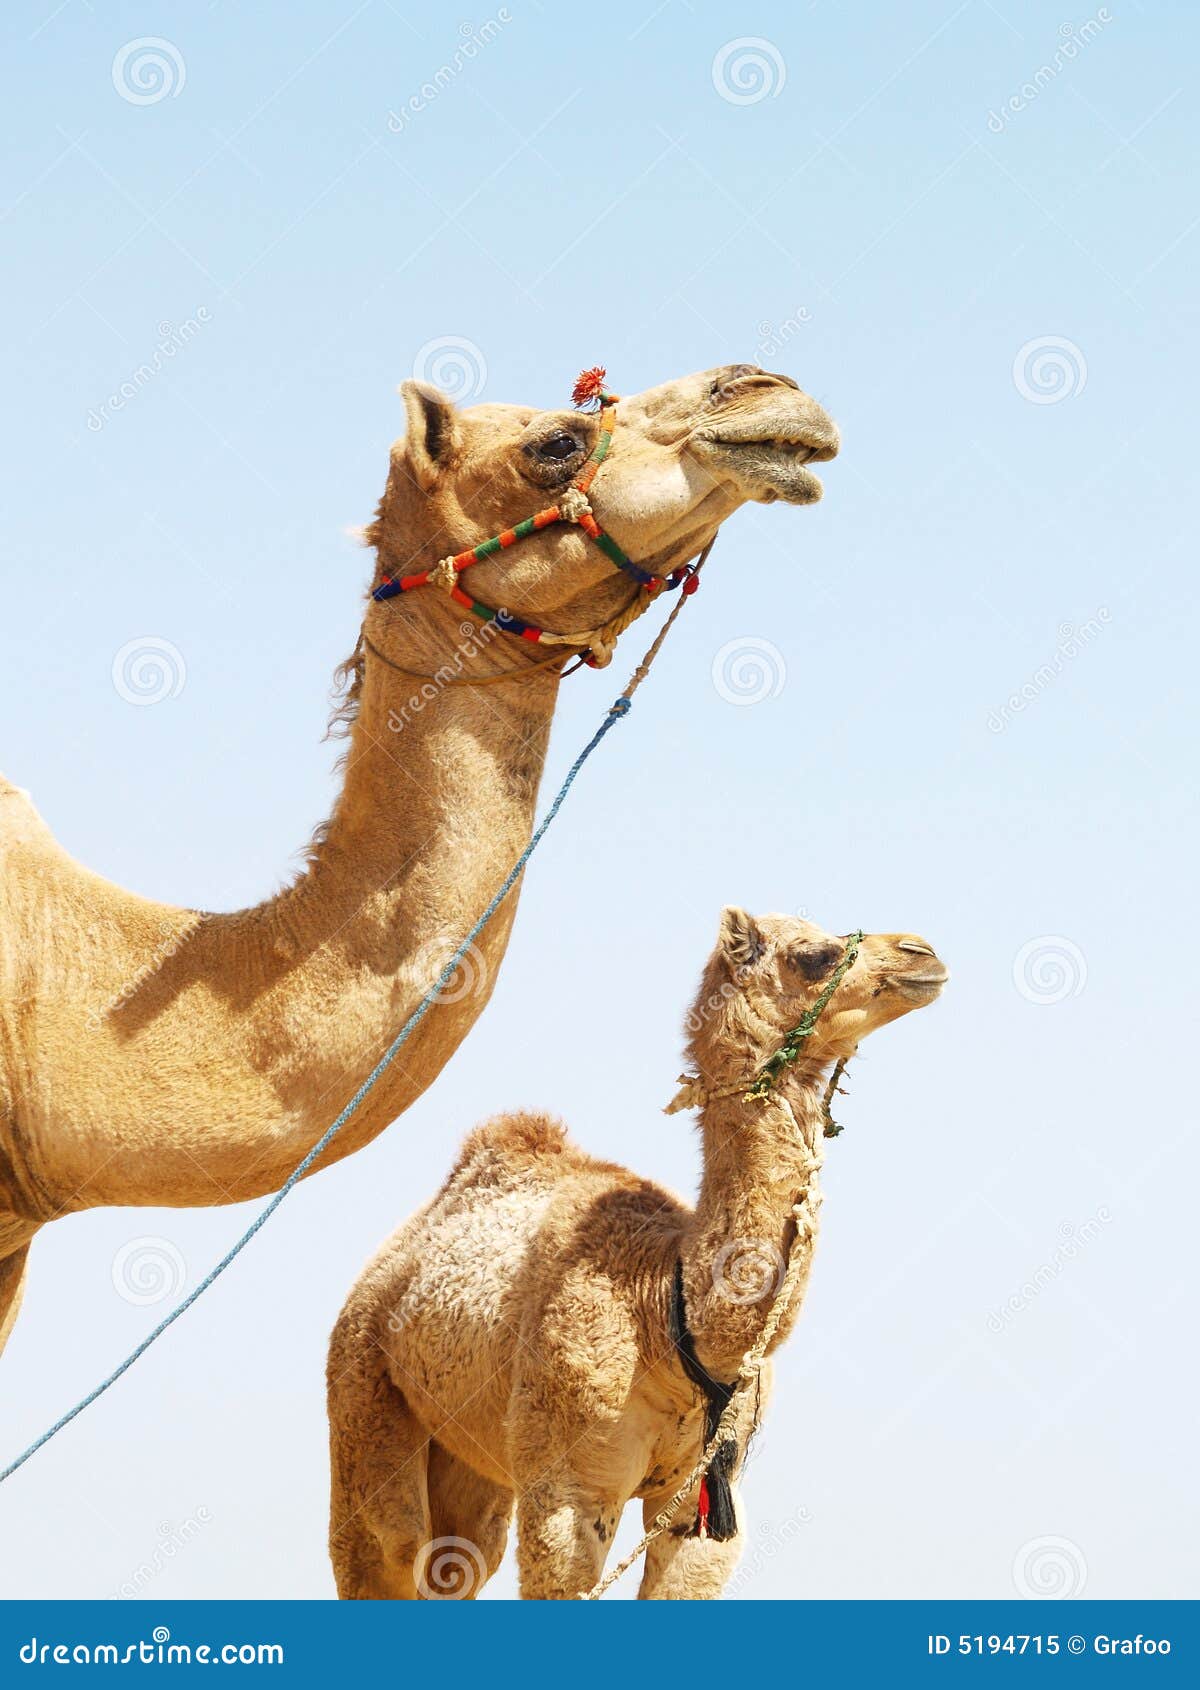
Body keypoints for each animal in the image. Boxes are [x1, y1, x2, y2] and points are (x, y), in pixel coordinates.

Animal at [326, 907, 947, 1599]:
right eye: (813, 955)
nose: (923, 954)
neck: (666, 1307)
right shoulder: (569, 1492)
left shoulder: (705, 1497)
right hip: (362, 1384)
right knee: (388, 1546)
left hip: (471, 1454)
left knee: (458, 1560)